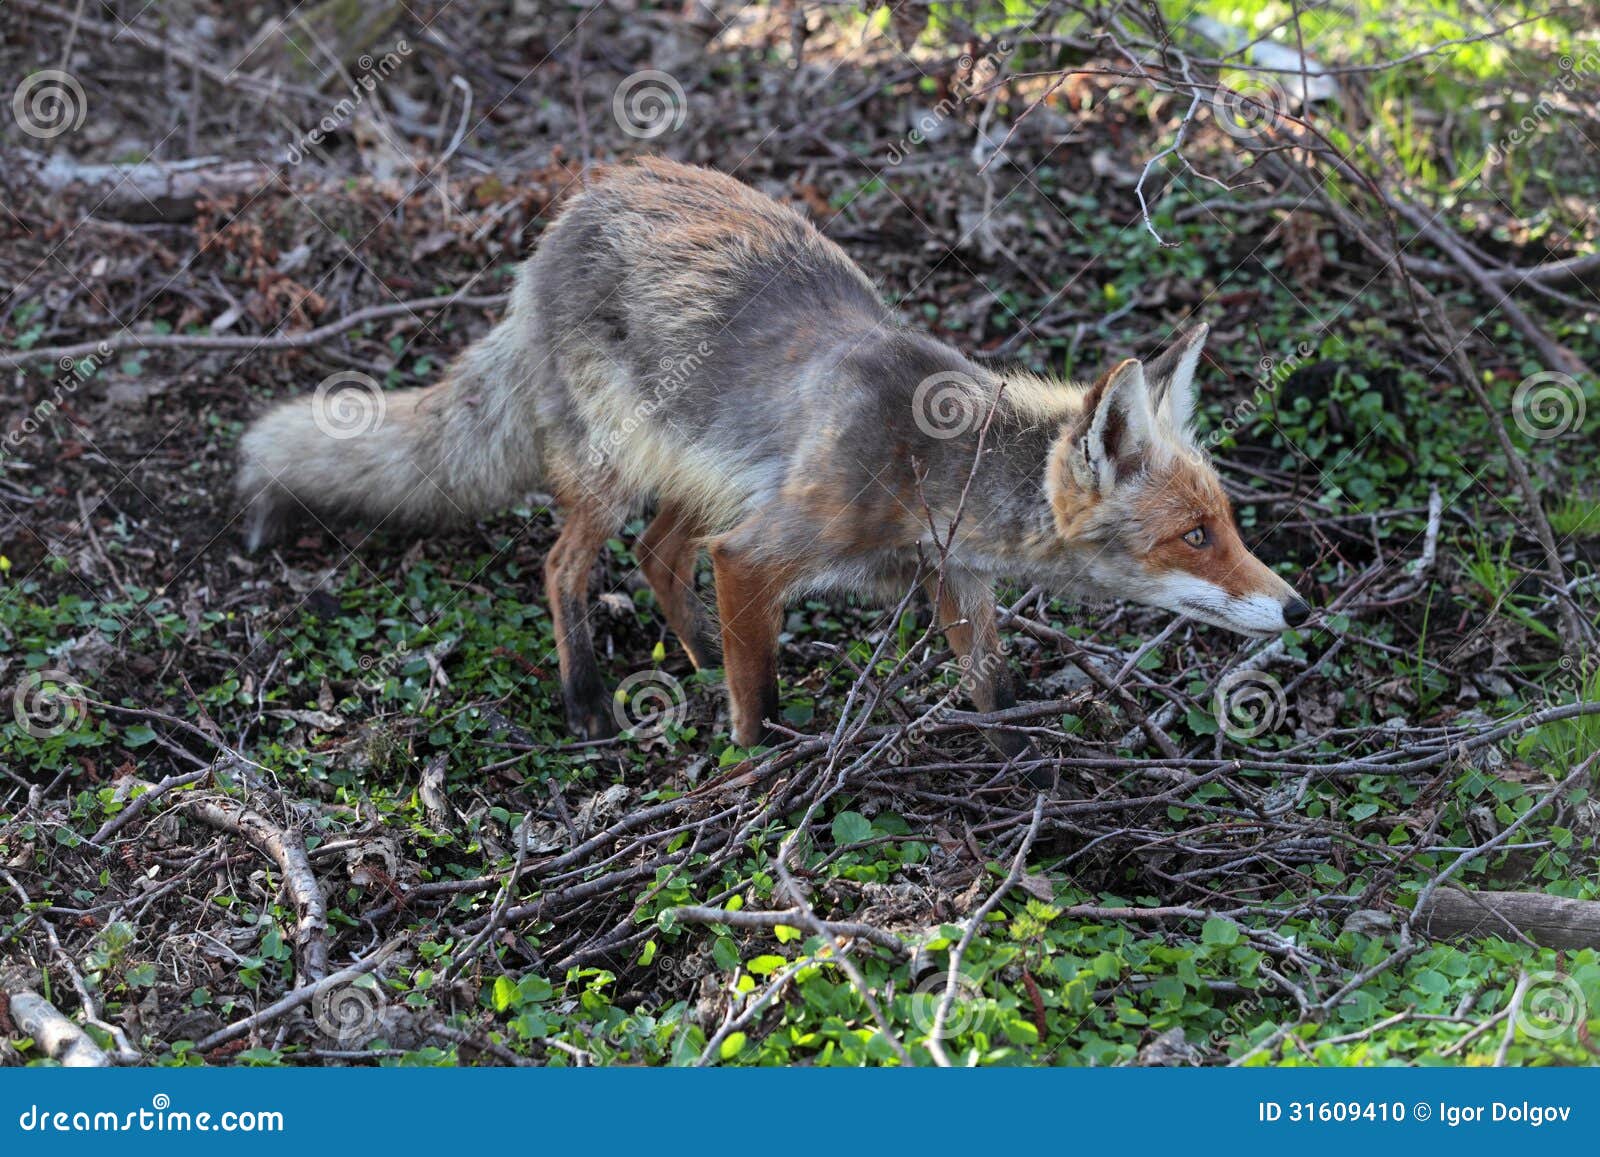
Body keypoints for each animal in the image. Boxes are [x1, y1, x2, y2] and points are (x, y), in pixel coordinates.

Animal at [237, 157, 1309, 752]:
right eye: (1194, 536)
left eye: (1228, 523)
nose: (1300, 608)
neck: (925, 464)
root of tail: (566, 219)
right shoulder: (760, 550)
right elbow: (758, 701)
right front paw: (753, 771)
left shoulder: (953, 577)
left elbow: (994, 687)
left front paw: (1011, 761)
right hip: (619, 472)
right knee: (565, 565)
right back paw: (589, 700)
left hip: (697, 474)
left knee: (657, 554)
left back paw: (696, 649)